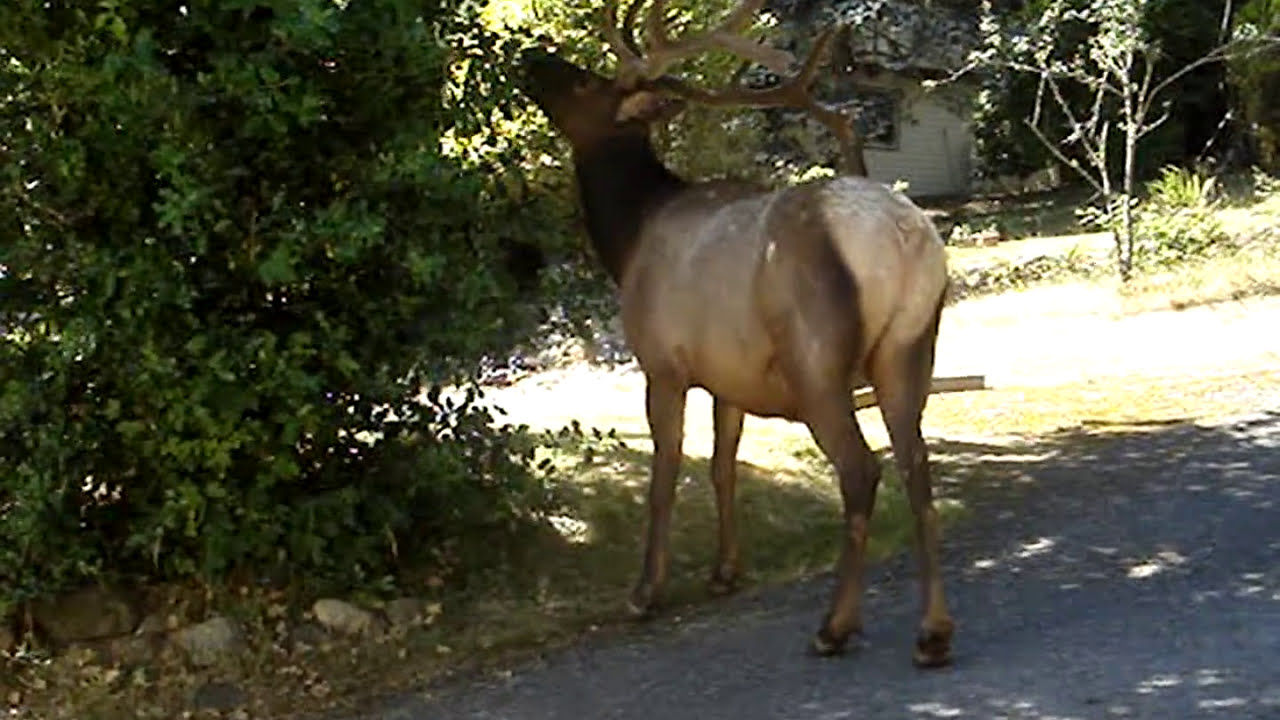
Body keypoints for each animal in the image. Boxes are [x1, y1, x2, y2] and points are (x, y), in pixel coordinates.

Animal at [518, 0, 955, 668]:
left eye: (587, 83)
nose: (528, 56)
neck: (627, 240)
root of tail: (905, 242)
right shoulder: (729, 375)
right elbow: (723, 466)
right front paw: (726, 570)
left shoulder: (663, 364)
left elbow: (666, 475)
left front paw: (645, 592)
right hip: (910, 349)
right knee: (918, 469)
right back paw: (932, 633)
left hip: (816, 357)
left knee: (861, 472)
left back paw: (835, 626)